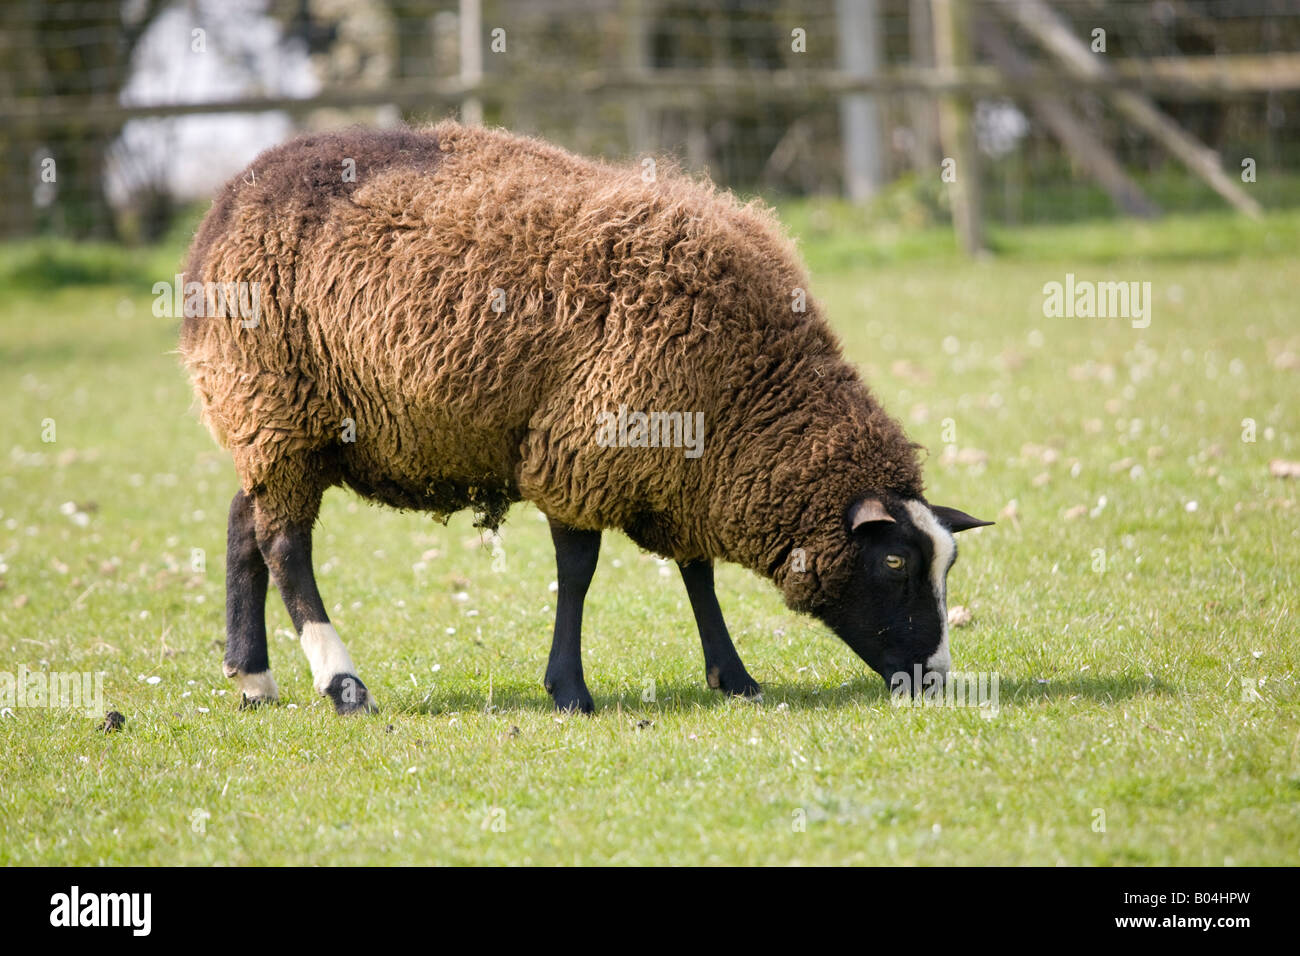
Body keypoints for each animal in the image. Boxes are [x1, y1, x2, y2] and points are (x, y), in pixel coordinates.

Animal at [179, 121, 992, 715]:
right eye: (895, 563)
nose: (935, 679)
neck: (751, 393)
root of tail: (223, 206)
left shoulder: (681, 467)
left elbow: (697, 571)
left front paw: (734, 676)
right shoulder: (582, 449)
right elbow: (579, 571)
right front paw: (569, 689)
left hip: (278, 426)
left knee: (243, 523)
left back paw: (252, 678)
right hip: (273, 404)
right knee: (285, 545)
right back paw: (343, 684)